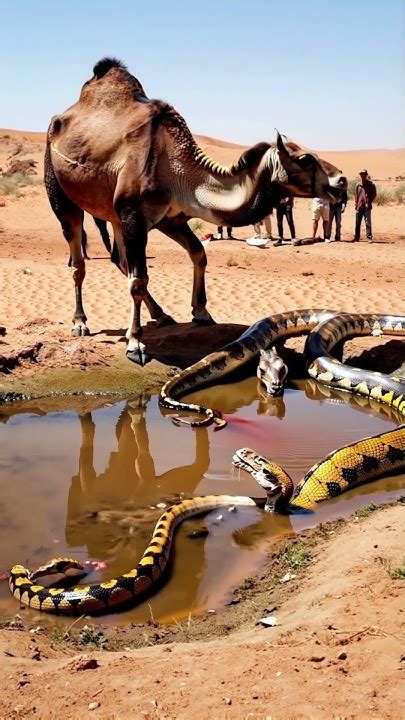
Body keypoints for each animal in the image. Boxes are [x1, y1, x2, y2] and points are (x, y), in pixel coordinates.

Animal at [45, 57, 347, 365]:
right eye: (305, 159)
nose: (341, 180)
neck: (177, 171)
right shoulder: (135, 216)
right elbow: (139, 279)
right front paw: (136, 344)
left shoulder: (169, 219)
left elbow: (198, 253)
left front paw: (201, 312)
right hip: (61, 192)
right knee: (79, 259)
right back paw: (80, 322)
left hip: (114, 213)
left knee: (119, 259)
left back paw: (161, 315)